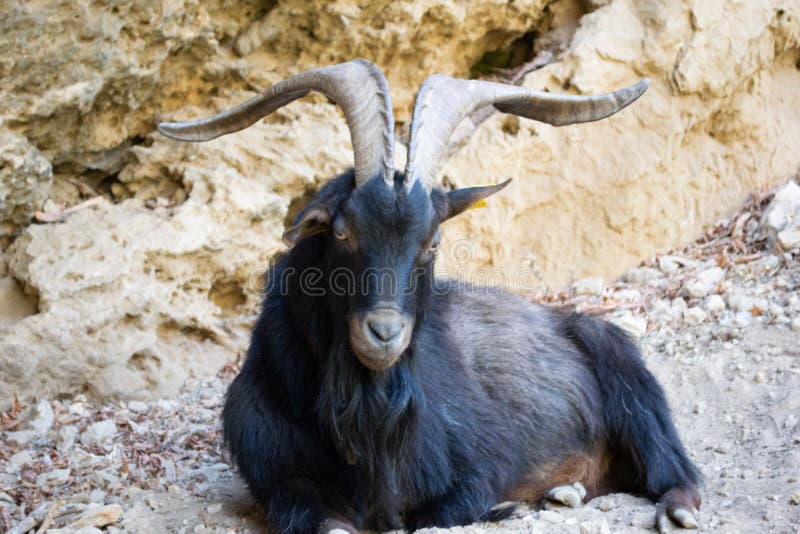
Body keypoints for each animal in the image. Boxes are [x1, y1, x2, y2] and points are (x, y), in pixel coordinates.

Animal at [158, 59, 701, 534]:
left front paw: (505, 508)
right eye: (342, 231)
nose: (383, 333)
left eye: (432, 241)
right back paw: (563, 492)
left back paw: (673, 510)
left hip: (627, 380)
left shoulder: (476, 469)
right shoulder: (282, 481)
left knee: (673, 471)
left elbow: (439, 512)